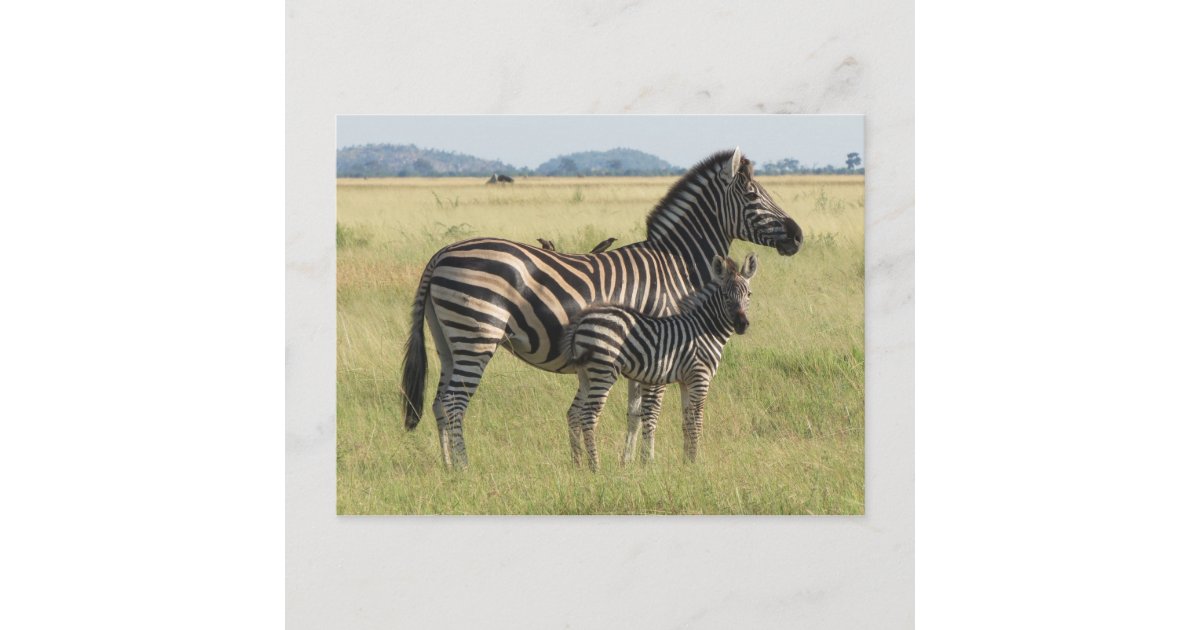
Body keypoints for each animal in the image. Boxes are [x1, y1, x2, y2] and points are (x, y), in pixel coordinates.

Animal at [563, 253, 757, 470]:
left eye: (748, 294)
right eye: (725, 295)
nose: (742, 325)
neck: (704, 328)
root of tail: (582, 321)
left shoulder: (685, 380)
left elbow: (687, 422)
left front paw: (687, 462)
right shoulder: (700, 377)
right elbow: (697, 422)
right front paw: (696, 462)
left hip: (585, 374)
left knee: (574, 413)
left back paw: (578, 464)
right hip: (604, 371)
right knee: (588, 416)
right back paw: (595, 467)